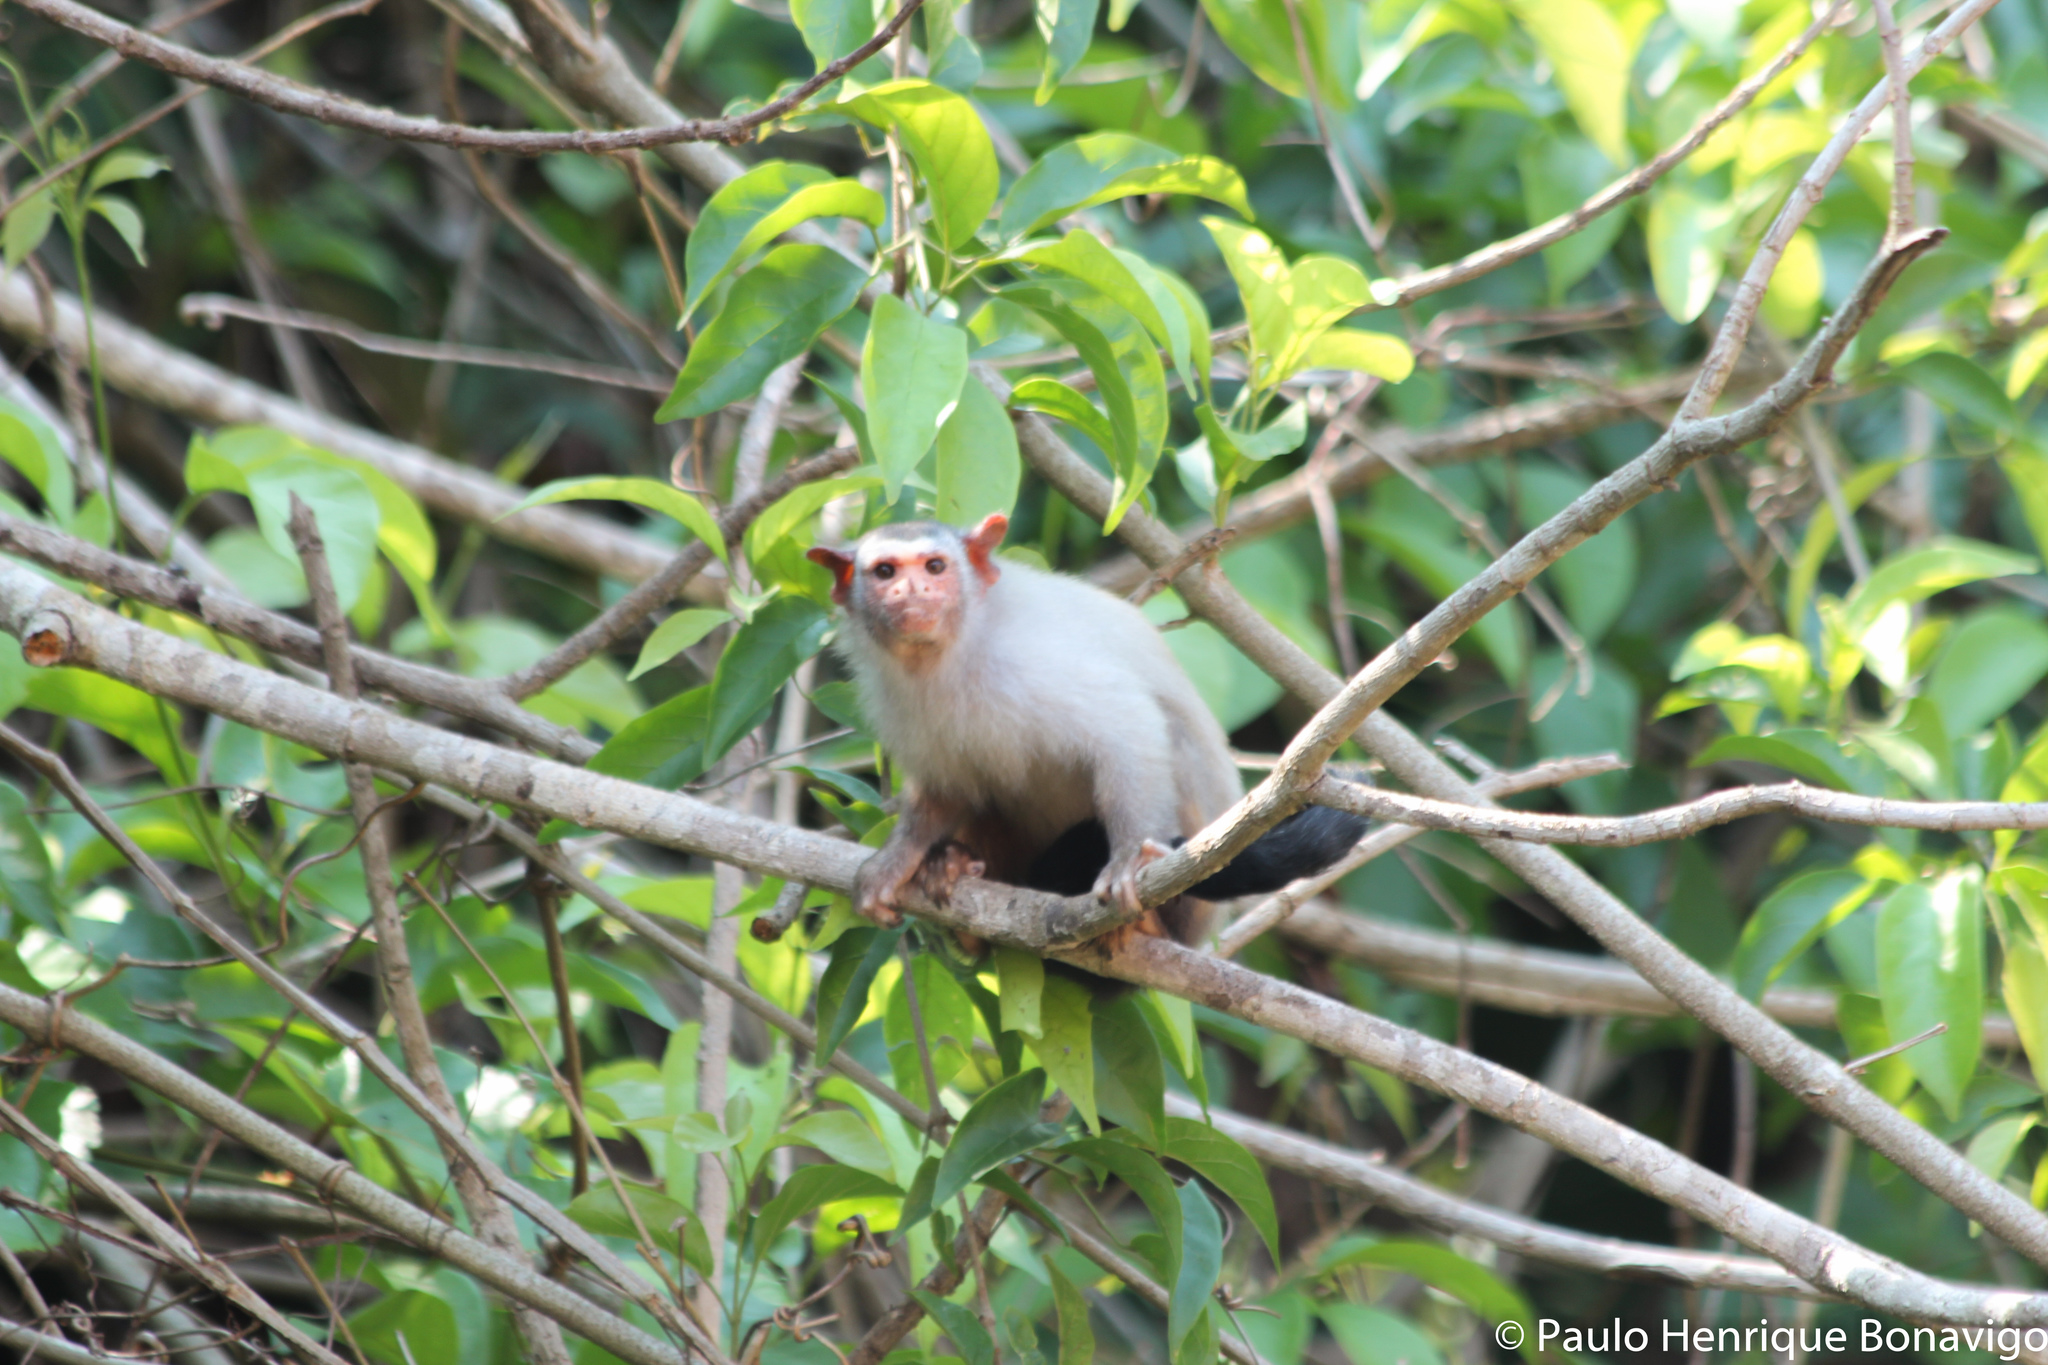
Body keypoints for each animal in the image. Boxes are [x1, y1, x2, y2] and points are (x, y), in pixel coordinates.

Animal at [805, 512, 1366, 954]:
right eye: (884, 572)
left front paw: (1125, 861)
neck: (950, 654)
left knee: (1169, 732)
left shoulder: (1035, 661)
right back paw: (955, 874)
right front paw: (900, 859)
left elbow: (1127, 726)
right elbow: (945, 792)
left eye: (934, 567)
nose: (912, 590)